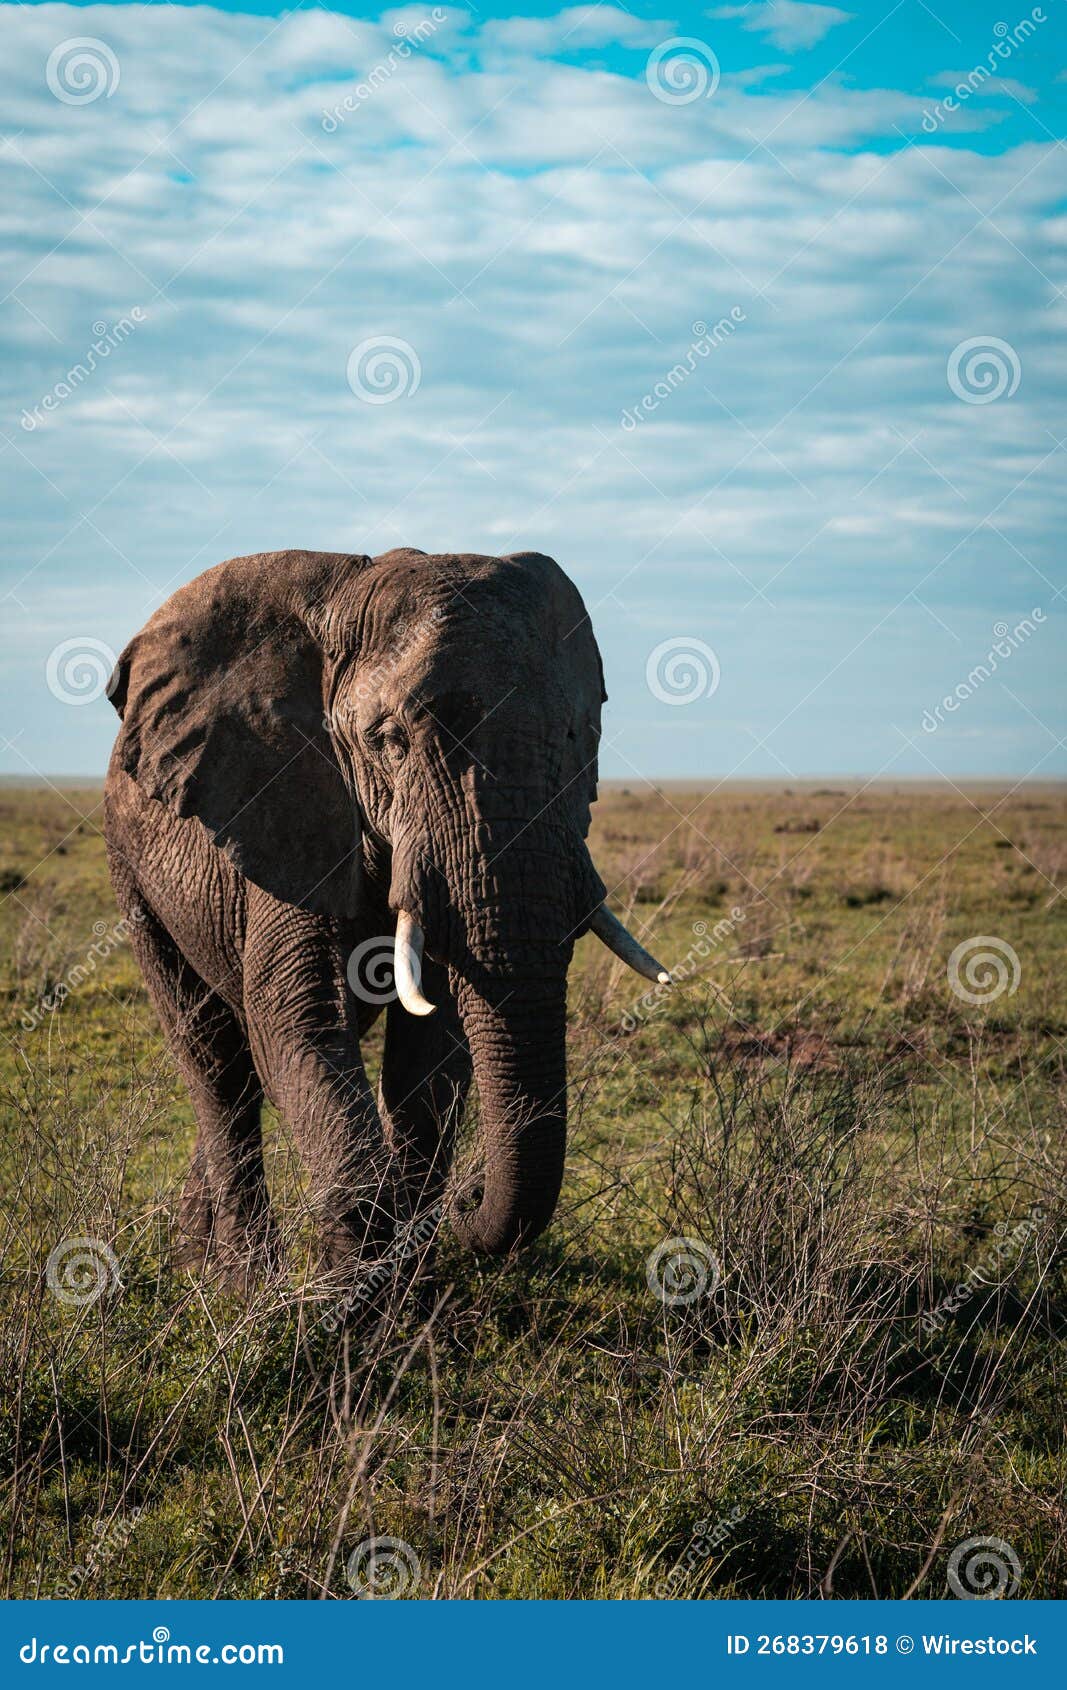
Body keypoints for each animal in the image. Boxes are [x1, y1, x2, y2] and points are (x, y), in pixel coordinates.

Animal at [103, 547, 669, 1297]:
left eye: (576, 736)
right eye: (390, 741)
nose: (471, 1196)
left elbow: (431, 1050)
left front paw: (407, 1291)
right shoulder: (289, 807)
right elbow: (300, 1022)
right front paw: (348, 1298)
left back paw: (198, 1265)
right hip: (131, 869)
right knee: (216, 1064)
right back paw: (238, 1285)